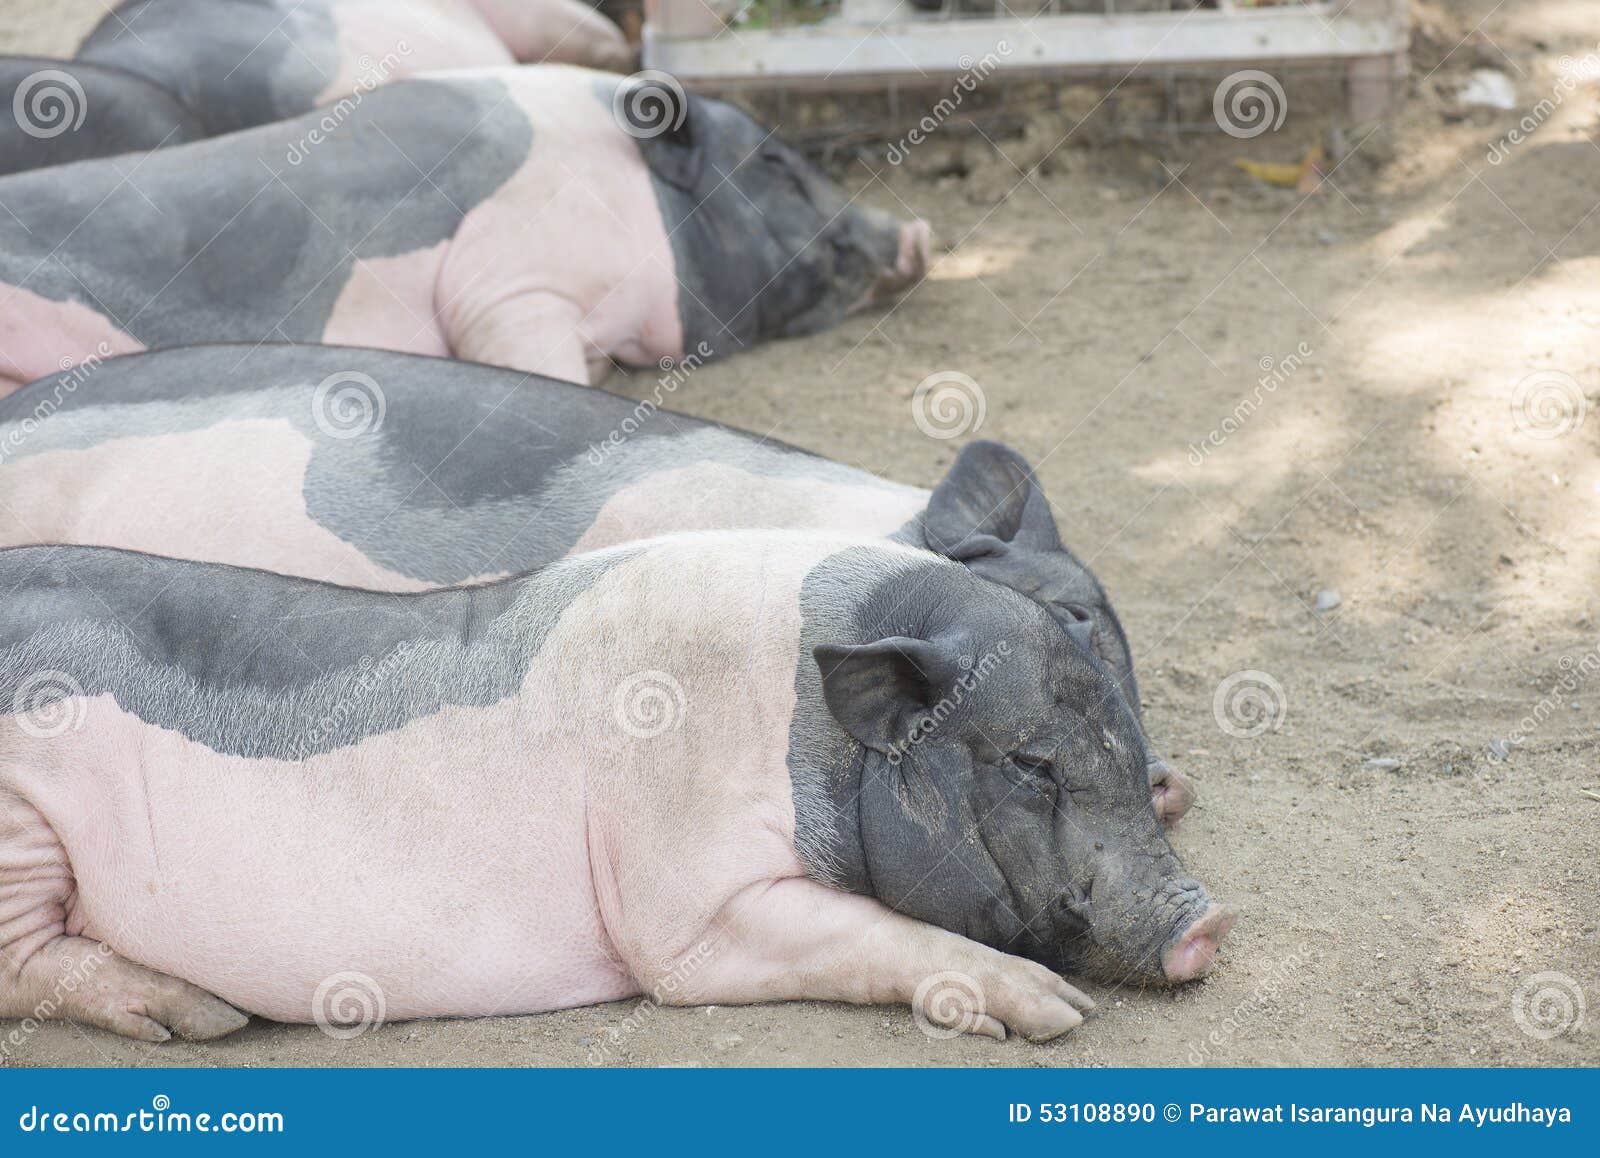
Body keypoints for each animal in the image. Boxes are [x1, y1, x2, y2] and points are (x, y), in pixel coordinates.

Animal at [0, 534, 1231, 1044]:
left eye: (1129, 741)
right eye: (1028, 763)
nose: (1206, 922)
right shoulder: (685, 908)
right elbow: (855, 934)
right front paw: (1055, 1012)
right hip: (21, 820)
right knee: (28, 966)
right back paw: (199, 1018)